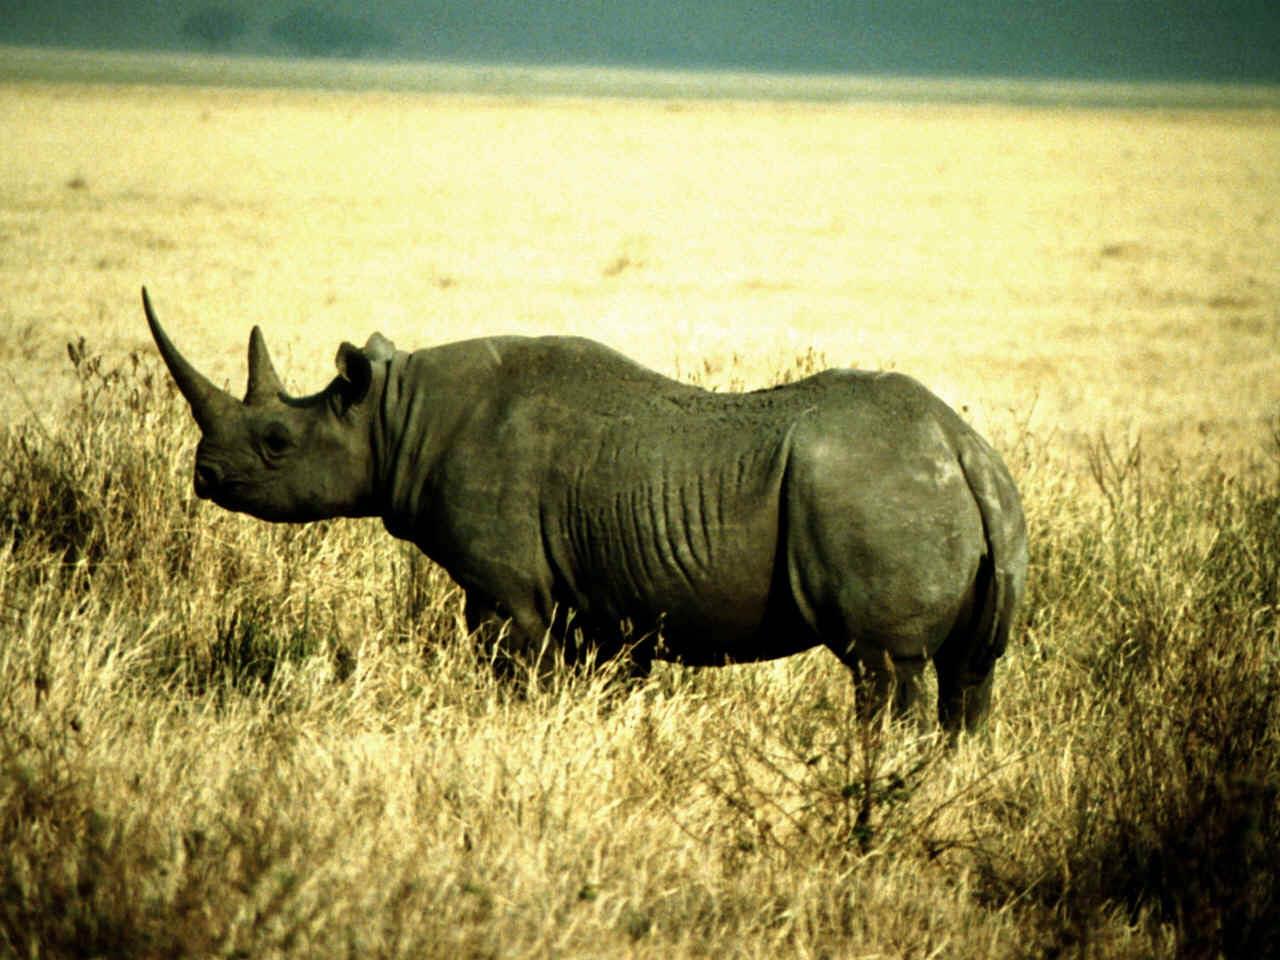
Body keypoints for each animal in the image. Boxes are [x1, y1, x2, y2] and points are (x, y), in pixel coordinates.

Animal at [143, 287, 1027, 731]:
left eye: (275, 443)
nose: (204, 474)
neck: (392, 417)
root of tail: (961, 448)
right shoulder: (607, 599)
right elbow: (604, 679)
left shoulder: (510, 593)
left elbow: (516, 669)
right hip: (976, 500)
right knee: (971, 671)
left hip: (875, 488)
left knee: (885, 668)